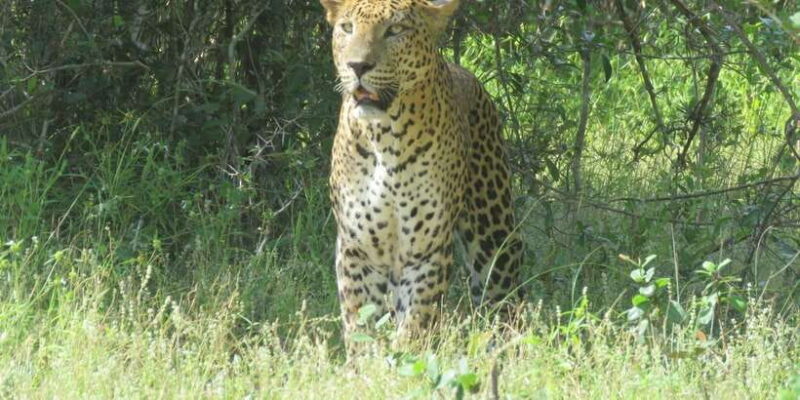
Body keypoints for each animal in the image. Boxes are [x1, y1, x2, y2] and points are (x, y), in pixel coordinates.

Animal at [320, 0, 523, 345]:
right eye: (347, 28)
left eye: (395, 30)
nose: (357, 66)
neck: (383, 137)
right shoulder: (357, 248)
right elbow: (360, 322)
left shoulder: (425, 250)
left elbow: (417, 322)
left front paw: (406, 353)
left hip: (493, 233)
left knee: (504, 299)